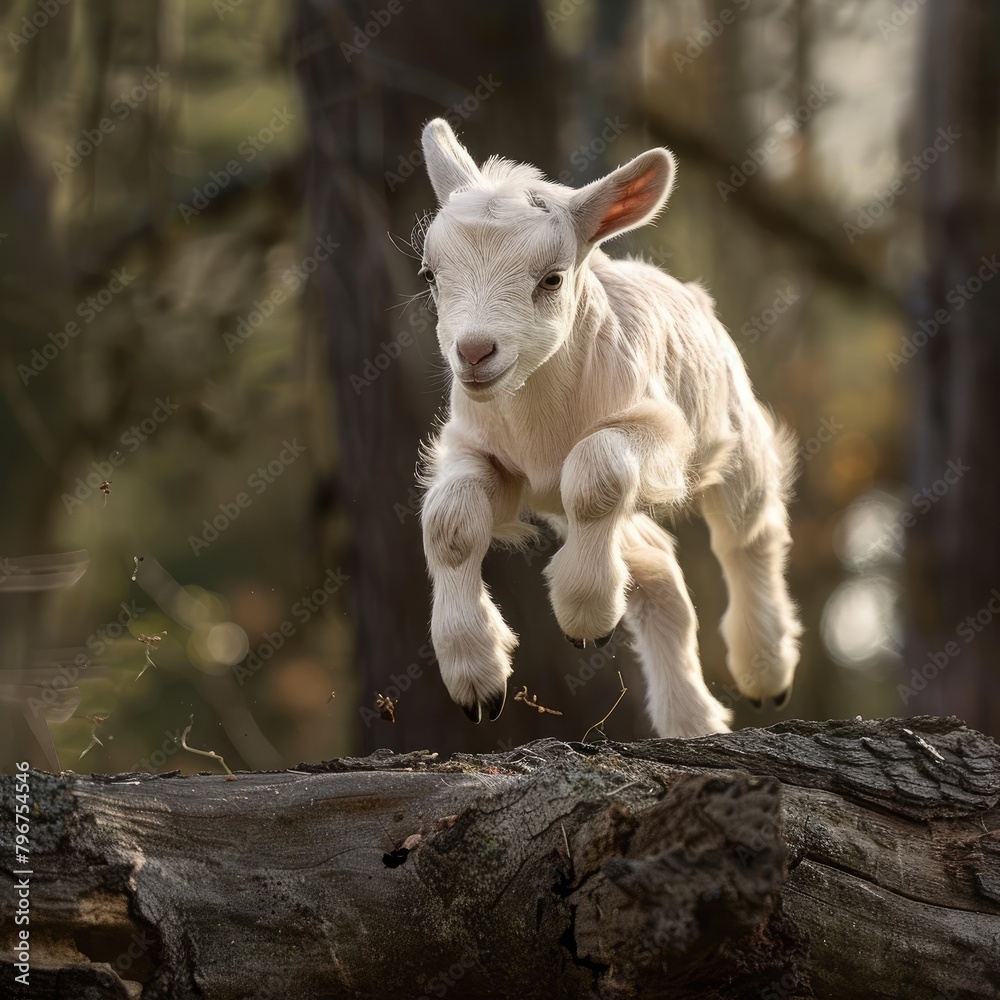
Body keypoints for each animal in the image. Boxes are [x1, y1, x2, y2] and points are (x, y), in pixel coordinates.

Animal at [415, 118, 801, 738]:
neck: (542, 424)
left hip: (732, 432)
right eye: (430, 275)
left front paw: (583, 617)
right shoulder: (476, 449)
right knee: (657, 570)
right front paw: (477, 678)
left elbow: (597, 476)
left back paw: (765, 671)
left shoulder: (660, 431)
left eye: (551, 279)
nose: (473, 353)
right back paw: (691, 720)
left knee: (748, 535)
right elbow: (449, 525)